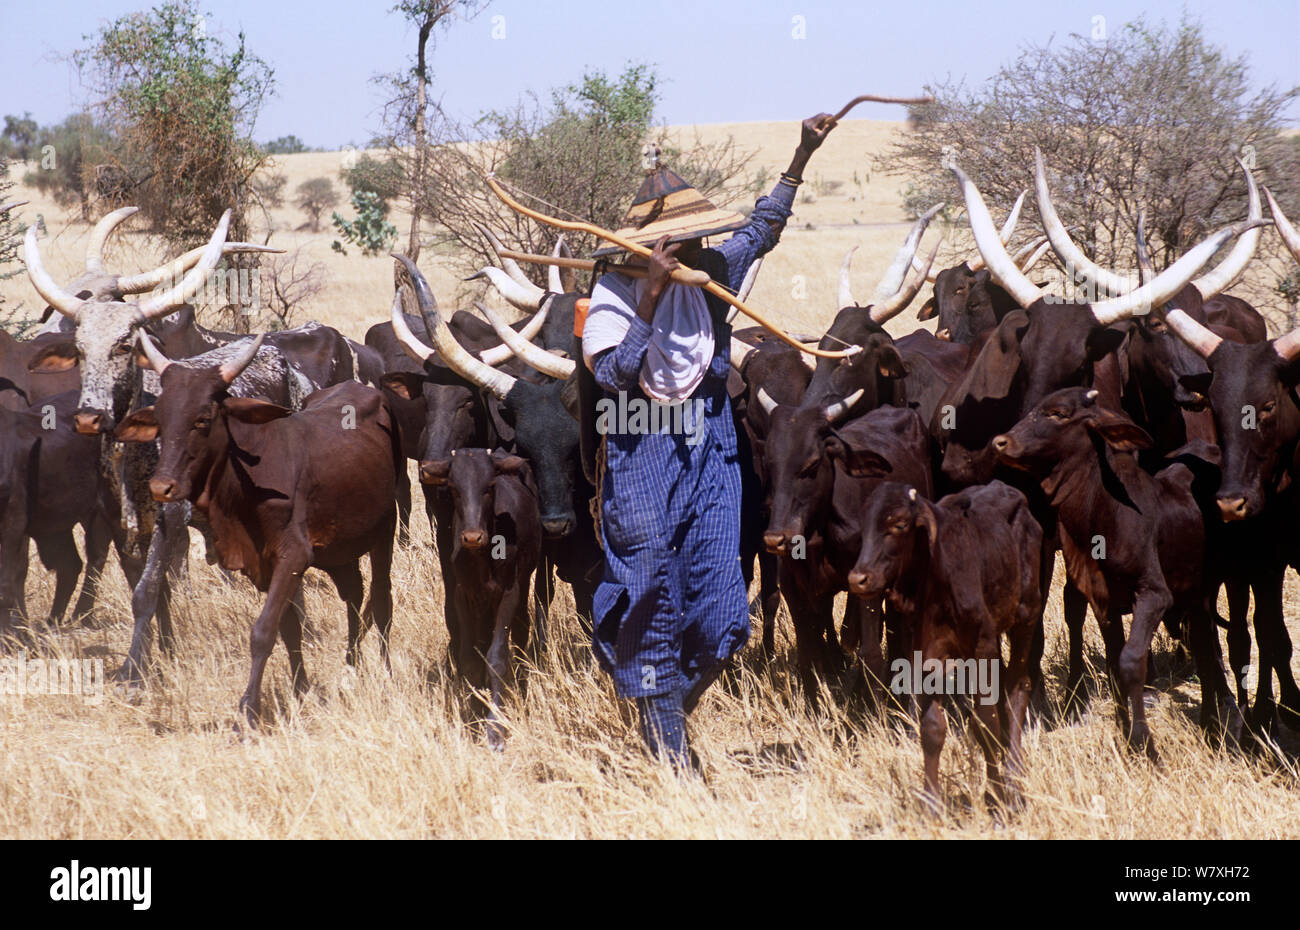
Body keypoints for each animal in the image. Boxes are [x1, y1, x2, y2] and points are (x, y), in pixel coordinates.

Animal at [114, 358, 400, 724]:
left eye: (202, 419)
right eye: (160, 418)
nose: (162, 487)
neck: (249, 478)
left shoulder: (293, 557)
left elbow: (264, 631)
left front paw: (248, 710)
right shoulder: (267, 564)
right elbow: (289, 629)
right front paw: (301, 690)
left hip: (384, 534)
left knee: (381, 600)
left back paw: (385, 672)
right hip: (340, 553)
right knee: (354, 594)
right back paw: (352, 667)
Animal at [445, 447, 542, 747]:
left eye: (489, 487)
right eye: (454, 488)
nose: (472, 537)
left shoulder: (509, 593)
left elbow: (497, 657)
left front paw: (495, 728)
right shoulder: (462, 595)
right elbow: (470, 659)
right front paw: (474, 716)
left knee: (521, 629)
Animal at [847, 480, 1043, 812]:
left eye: (899, 524)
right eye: (865, 525)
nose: (859, 578)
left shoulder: (982, 650)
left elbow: (984, 724)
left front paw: (996, 795)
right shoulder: (927, 654)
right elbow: (932, 729)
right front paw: (931, 803)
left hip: (1026, 618)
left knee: (1018, 688)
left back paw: (1014, 770)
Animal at [992, 388, 1242, 757]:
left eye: (1059, 413)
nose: (1001, 442)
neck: (1104, 513)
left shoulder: (1154, 595)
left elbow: (1130, 662)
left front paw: (1142, 743)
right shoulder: (1103, 601)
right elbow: (1113, 663)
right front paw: (1125, 730)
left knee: (1210, 643)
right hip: (1195, 595)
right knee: (1202, 643)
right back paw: (1210, 721)